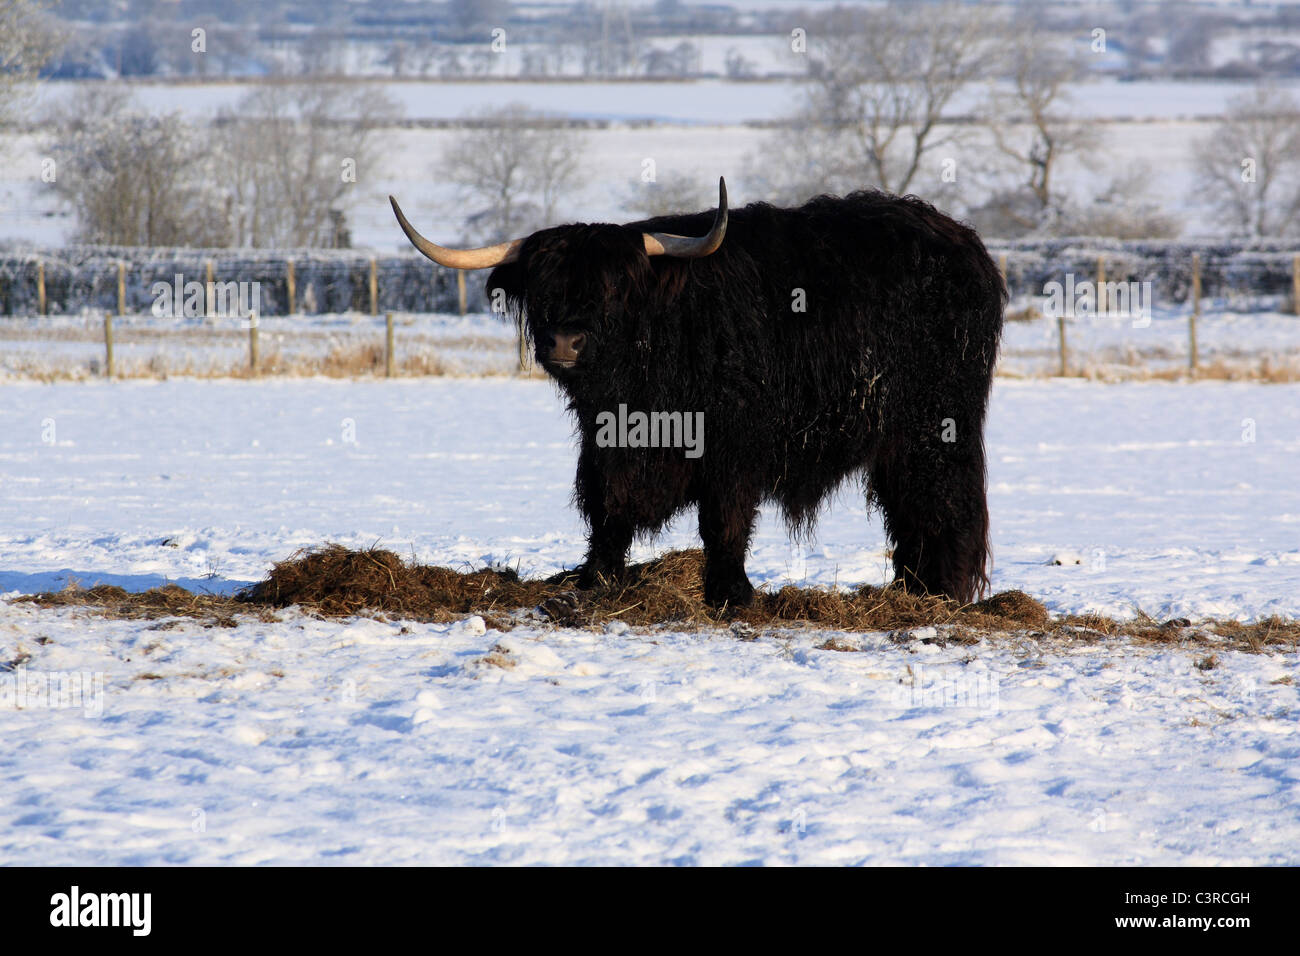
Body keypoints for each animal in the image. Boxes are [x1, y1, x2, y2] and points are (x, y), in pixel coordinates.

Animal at [389, 178, 1005, 607]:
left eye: (613, 287)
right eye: (543, 289)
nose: (565, 340)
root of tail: (963, 241)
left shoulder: (731, 446)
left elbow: (723, 519)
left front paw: (731, 594)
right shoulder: (605, 442)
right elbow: (605, 511)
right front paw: (594, 580)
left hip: (936, 424)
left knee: (945, 500)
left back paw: (940, 593)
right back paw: (910, 589)